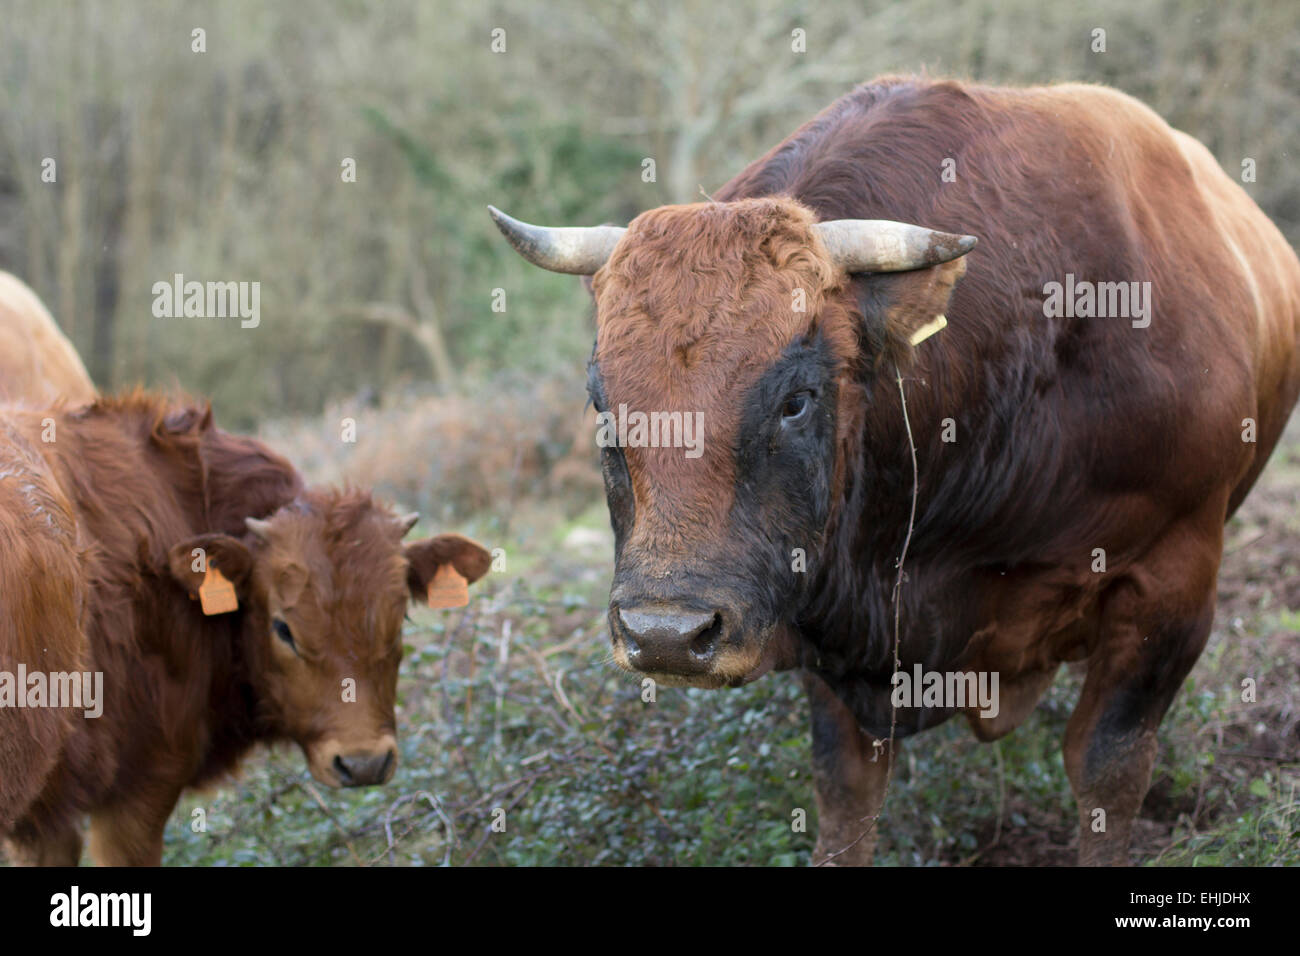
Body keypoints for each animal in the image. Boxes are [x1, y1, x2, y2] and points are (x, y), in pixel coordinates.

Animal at [490, 76, 1300, 865]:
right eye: (602, 402)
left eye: (797, 400)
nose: (665, 633)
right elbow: (846, 795)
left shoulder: (1172, 586)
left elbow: (1107, 767)